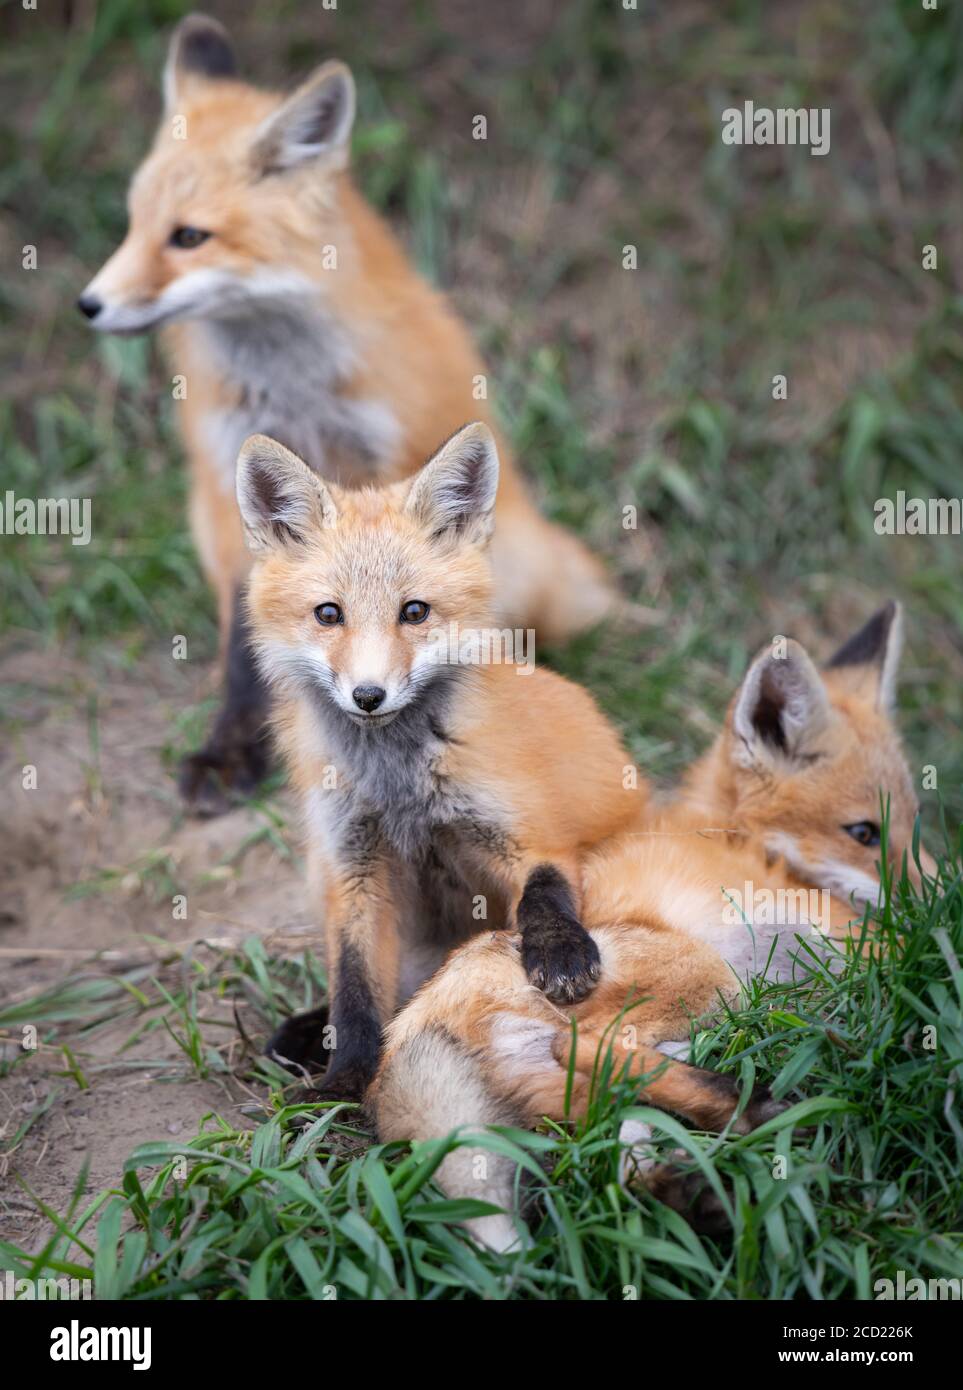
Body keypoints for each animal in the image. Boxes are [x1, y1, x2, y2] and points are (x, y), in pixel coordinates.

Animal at [78, 13, 621, 816]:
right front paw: (235, 746)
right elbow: (250, 645)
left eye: (188, 237)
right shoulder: (229, 482)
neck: (290, 383)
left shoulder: (388, 461)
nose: (89, 304)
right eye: (132, 225)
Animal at [234, 421, 646, 1101]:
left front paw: (560, 954)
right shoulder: (352, 867)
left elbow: (543, 893)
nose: (368, 695)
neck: (398, 785)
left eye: (415, 612)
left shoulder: (526, 834)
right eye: (329, 614)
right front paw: (345, 1081)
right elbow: (354, 987)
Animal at [369, 601, 938, 1250]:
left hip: (627, 1067)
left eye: (914, 824)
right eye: (863, 832)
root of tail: (408, 1024)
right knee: (587, 1047)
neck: (738, 837)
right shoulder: (861, 945)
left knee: (619, 1153)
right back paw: (757, 1113)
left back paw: (696, 1188)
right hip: (707, 977)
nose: (936, 899)